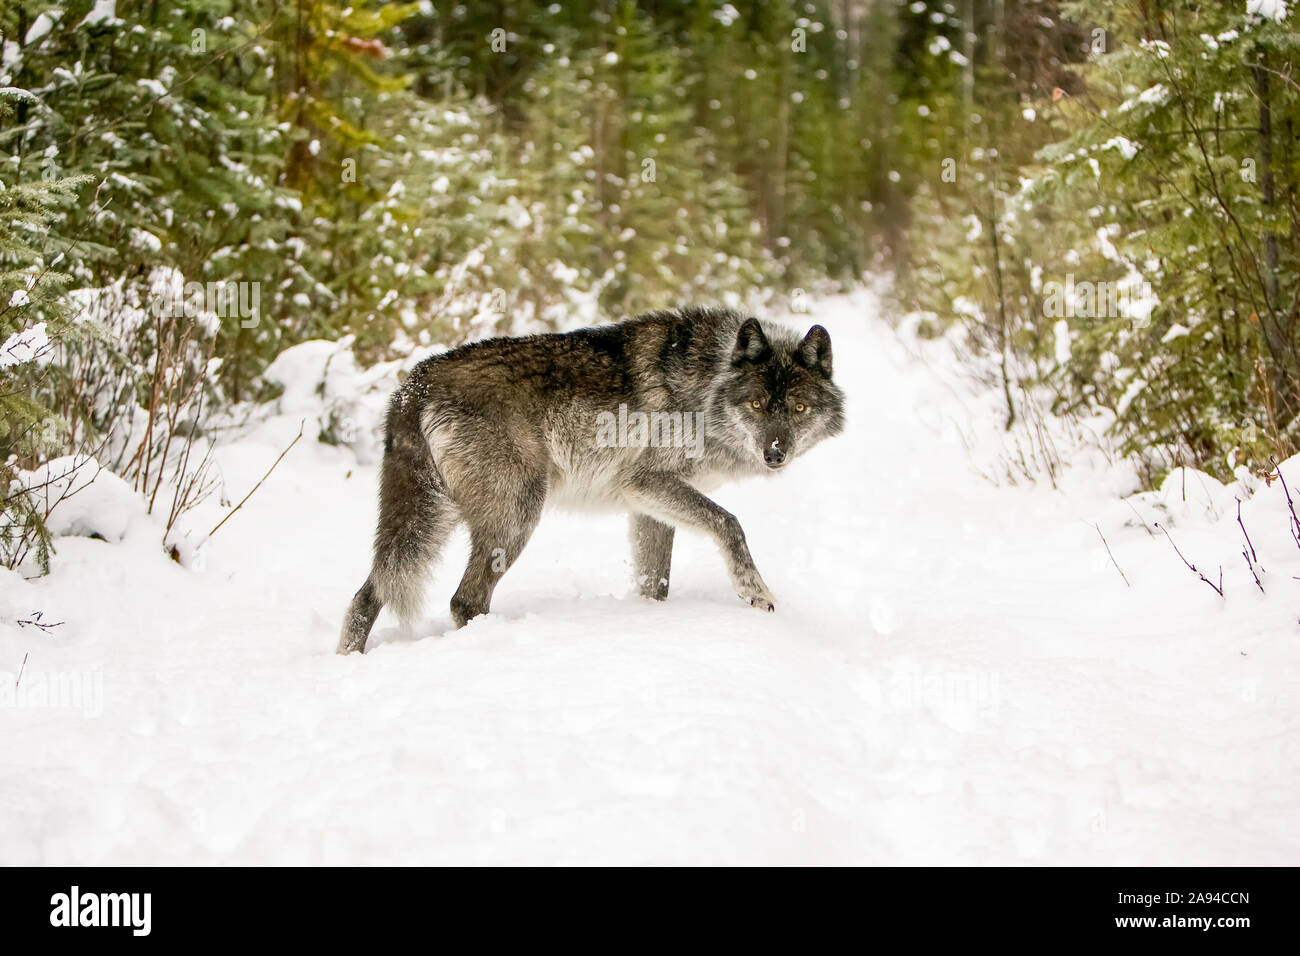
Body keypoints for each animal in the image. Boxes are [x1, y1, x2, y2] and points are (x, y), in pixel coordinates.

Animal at [338, 307, 845, 654]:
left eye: (798, 408)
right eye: (757, 405)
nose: (775, 454)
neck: (706, 385)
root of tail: (414, 385)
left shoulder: (647, 505)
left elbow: (655, 583)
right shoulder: (646, 481)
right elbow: (730, 523)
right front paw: (755, 592)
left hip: (428, 523)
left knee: (367, 595)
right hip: (515, 516)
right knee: (464, 600)